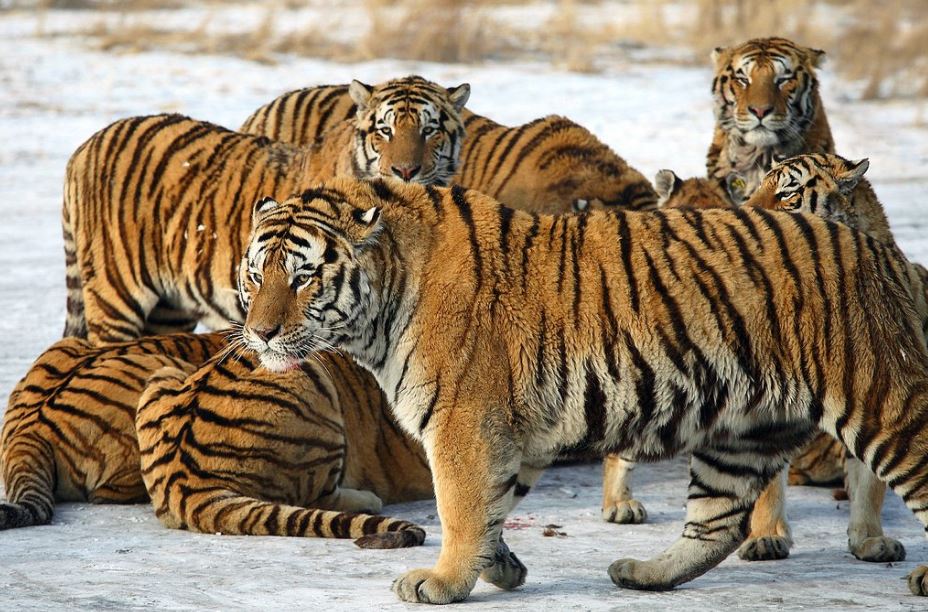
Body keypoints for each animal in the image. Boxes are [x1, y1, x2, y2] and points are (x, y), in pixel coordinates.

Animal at [62, 75, 469, 344]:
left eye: (430, 130)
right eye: (385, 131)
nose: (405, 171)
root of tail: (85, 145)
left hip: (168, 308)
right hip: (116, 296)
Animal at [236, 177, 928, 603]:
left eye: (302, 278)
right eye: (255, 275)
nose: (260, 332)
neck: (380, 306)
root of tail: (888, 255)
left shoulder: (463, 422)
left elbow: (459, 508)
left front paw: (444, 581)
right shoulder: (512, 431)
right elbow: (492, 507)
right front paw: (501, 567)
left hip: (882, 402)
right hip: (745, 430)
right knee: (717, 524)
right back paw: (643, 574)